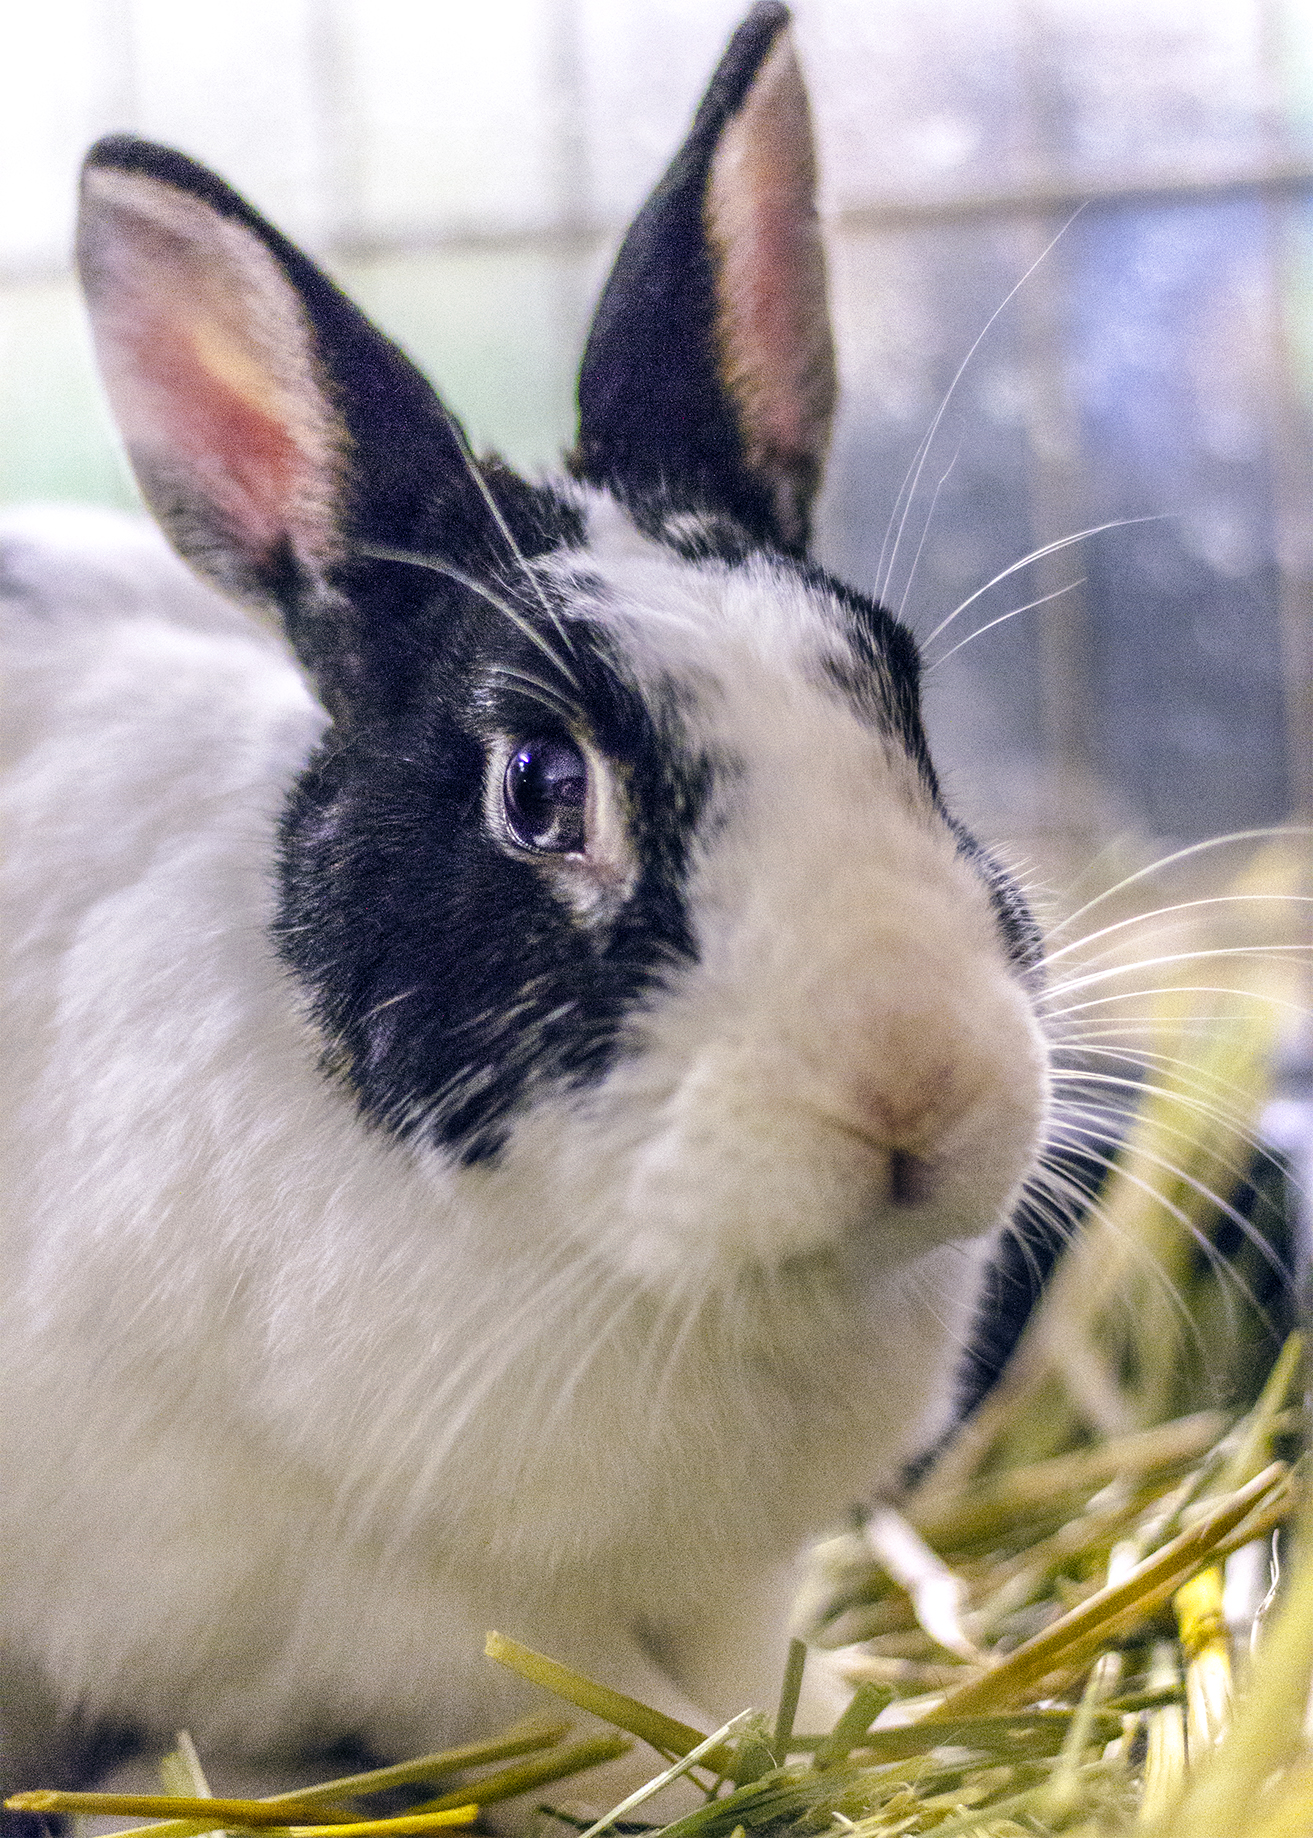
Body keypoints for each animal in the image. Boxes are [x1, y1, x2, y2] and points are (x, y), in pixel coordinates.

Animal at [0, 0, 1050, 1819]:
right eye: (539, 787)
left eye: (896, 688)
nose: (912, 1085)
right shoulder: (363, 1605)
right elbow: (582, 1722)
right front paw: (701, 1790)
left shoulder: (731, 1578)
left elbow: (728, 1679)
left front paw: (827, 1714)